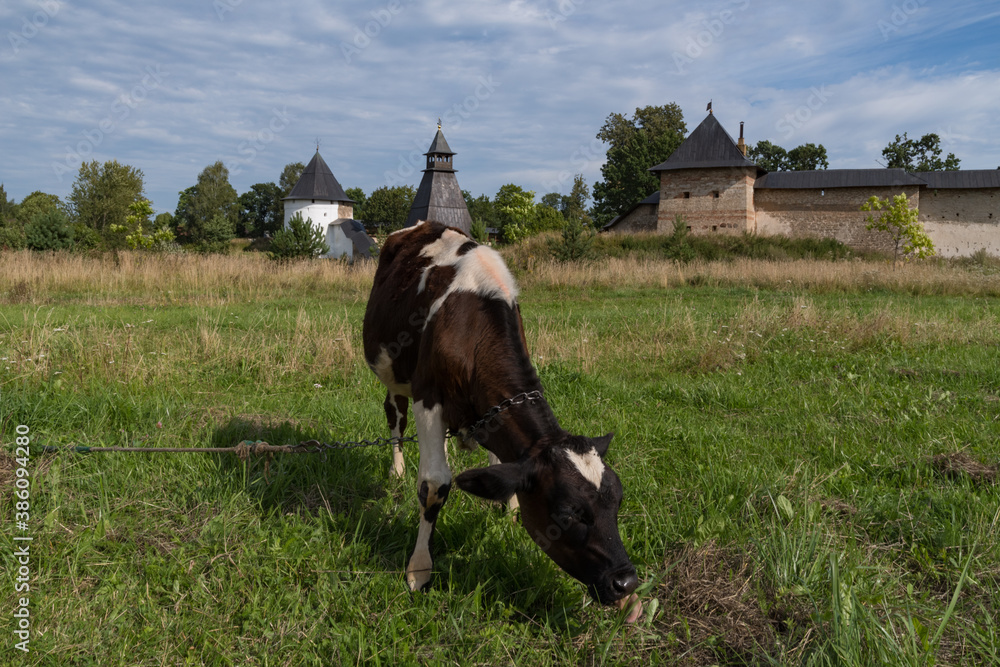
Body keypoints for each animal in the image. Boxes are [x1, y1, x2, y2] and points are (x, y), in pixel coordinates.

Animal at [362, 220, 640, 618]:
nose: (626, 583)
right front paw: (419, 569)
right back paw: (396, 469)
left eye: (617, 502)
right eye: (566, 514)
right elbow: (434, 484)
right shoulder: (427, 396)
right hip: (394, 376)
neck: (472, 328)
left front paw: (509, 515)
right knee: (395, 419)